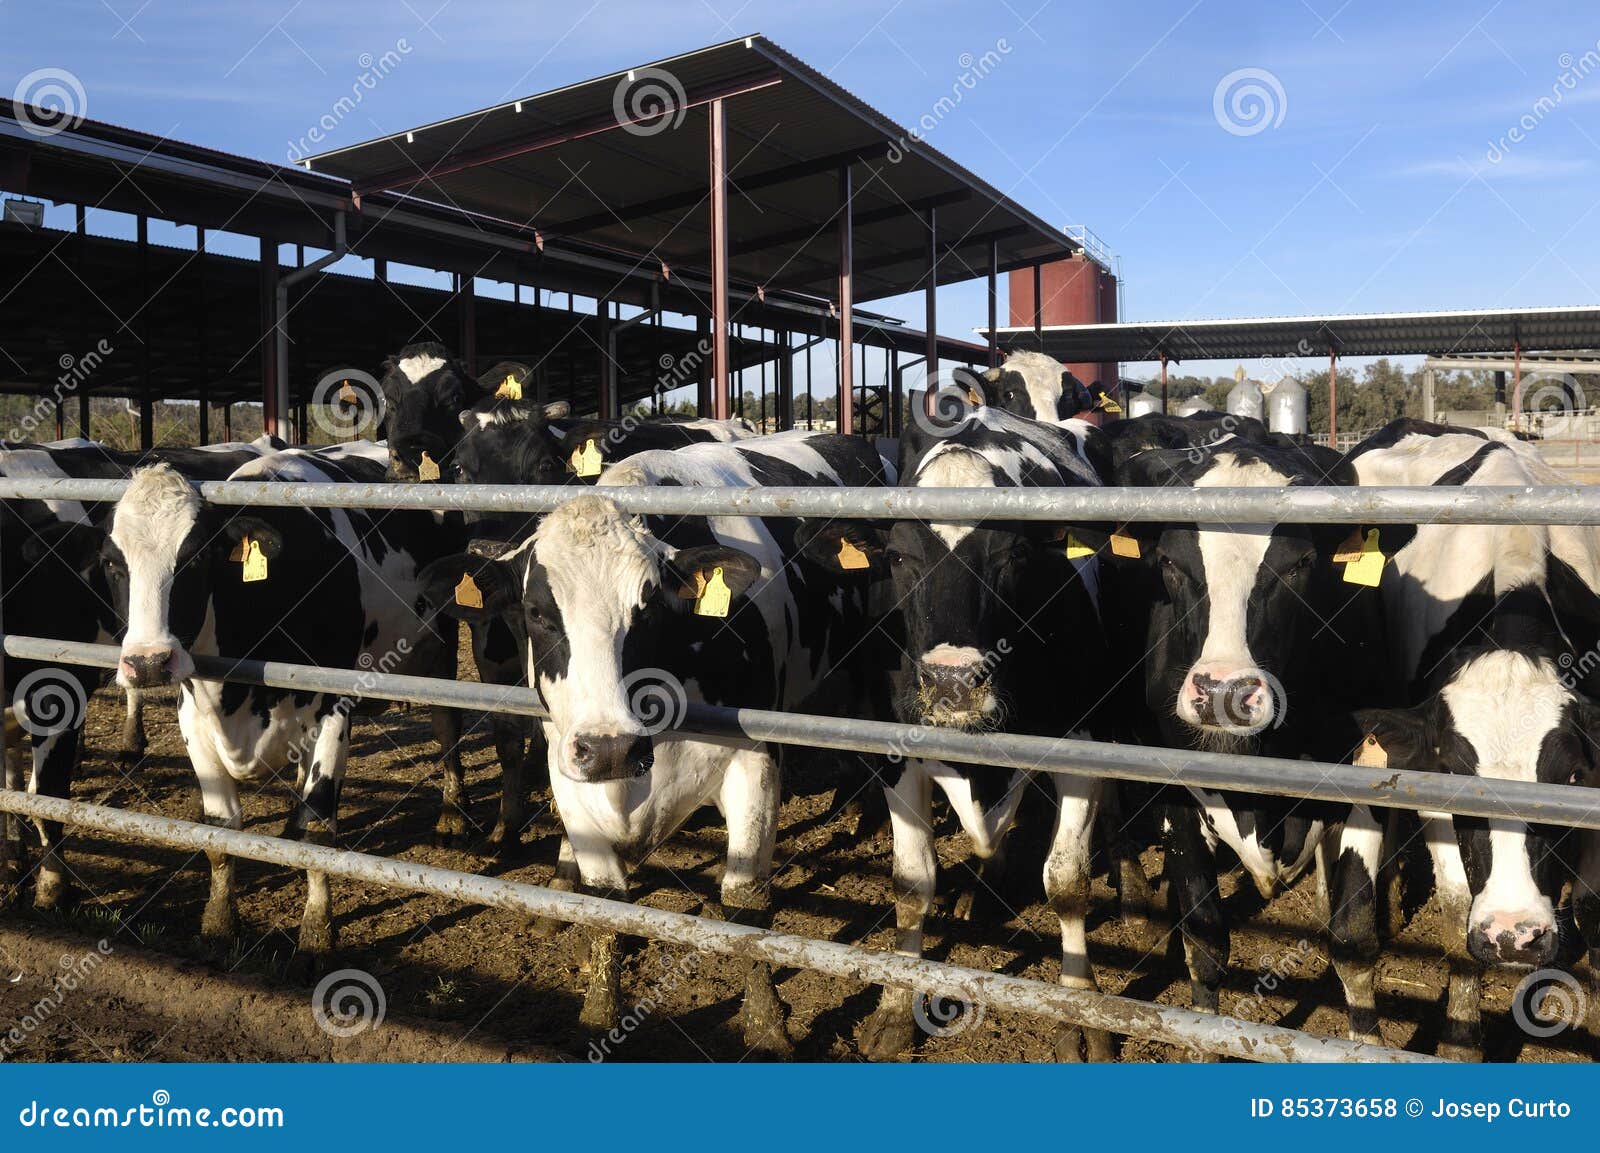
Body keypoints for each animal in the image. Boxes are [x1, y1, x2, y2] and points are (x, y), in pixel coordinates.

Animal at [91, 442, 460, 963]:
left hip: (443, 641)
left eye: (195, 557)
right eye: (112, 563)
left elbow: (316, 825)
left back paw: (452, 814)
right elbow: (220, 829)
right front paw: (219, 923)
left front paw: (317, 932)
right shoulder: (193, 718)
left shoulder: (334, 707)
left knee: (448, 727)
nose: (147, 663)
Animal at [420, 430, 892, 1052]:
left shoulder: (753, 764)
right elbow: (608, 901)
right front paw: (598, 1011)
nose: (611, 749)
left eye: (647, 612)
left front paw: (766, 1027)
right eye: (538, 613)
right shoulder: (568, 771)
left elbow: (745, 902)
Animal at [798, 405, 1127, 1061]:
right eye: (899, 557)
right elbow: (912, 880)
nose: (952, 680)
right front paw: (898, 1001)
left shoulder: (1083, 742)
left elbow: (1067, 882)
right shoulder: (895, 747)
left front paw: (1079, 1011)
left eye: (1015, 554)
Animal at [1098, 431, 1390, 1051]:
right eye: (1169, 563)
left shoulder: (1371, 769)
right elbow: (1205, 934)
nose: (1225, 692)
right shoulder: (1172, 785)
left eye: (1301, 564)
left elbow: (1354, 940)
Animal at [1338, 419, 1600, 1059]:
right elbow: (1457, 910)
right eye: (1458, 775)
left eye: (1567, 778)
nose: (1513, 934)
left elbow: (1589, 904)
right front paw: (1460, 1038)